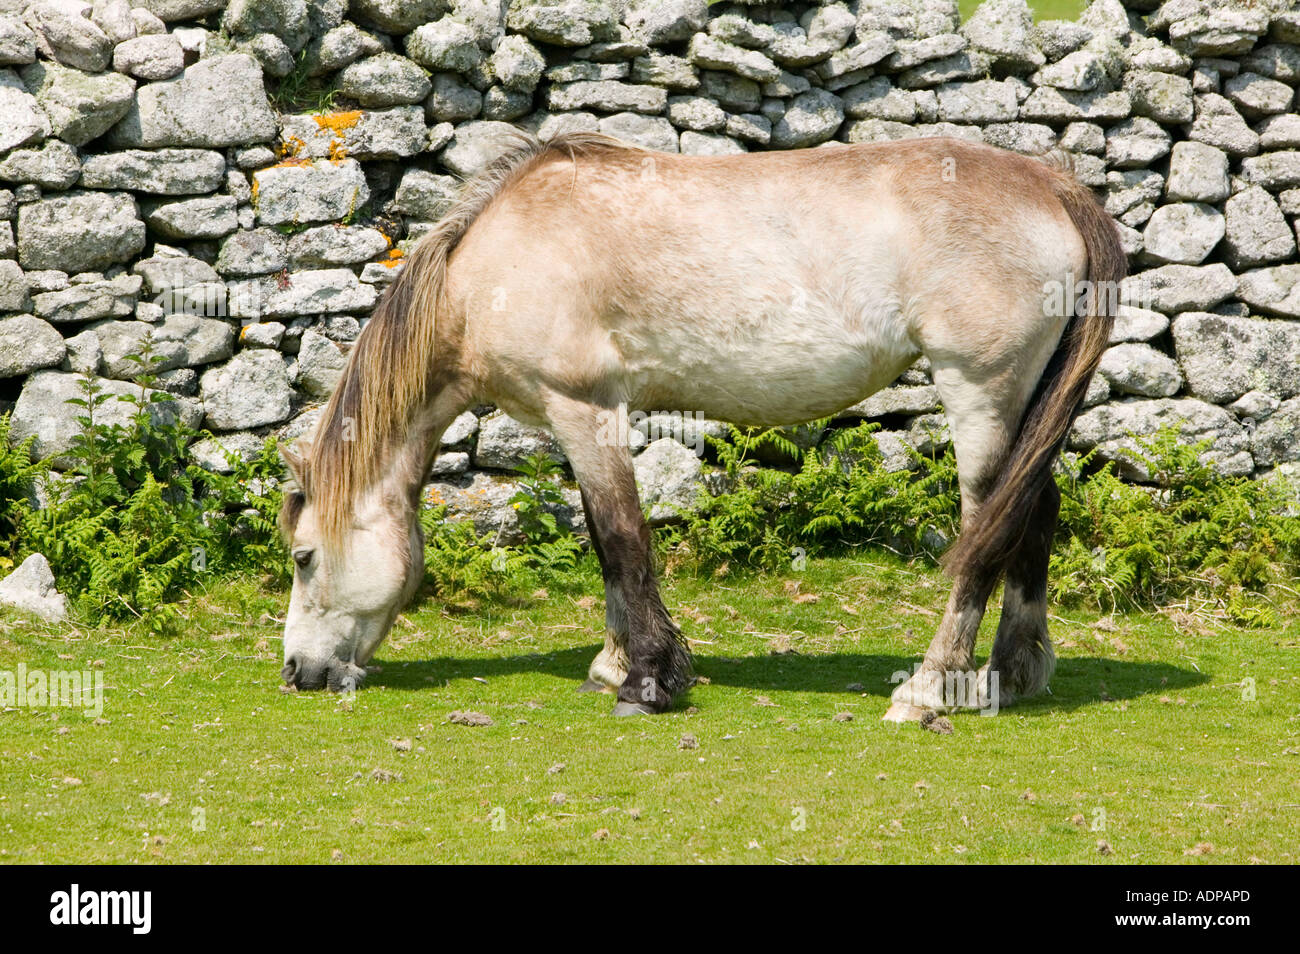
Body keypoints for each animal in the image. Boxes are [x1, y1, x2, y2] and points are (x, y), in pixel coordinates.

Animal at [275, 130, 1123, 721]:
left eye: (304, 558)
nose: (295, 673)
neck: (495, 265)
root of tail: (1051, 184)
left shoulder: (583, 408)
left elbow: (622, 541)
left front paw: (649, 679)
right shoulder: (579, 419)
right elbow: (603, 538)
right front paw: (614, 664)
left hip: (979, 390)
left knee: (986, 527)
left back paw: (931, 685)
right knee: (1034, 509)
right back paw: (1012, 672)